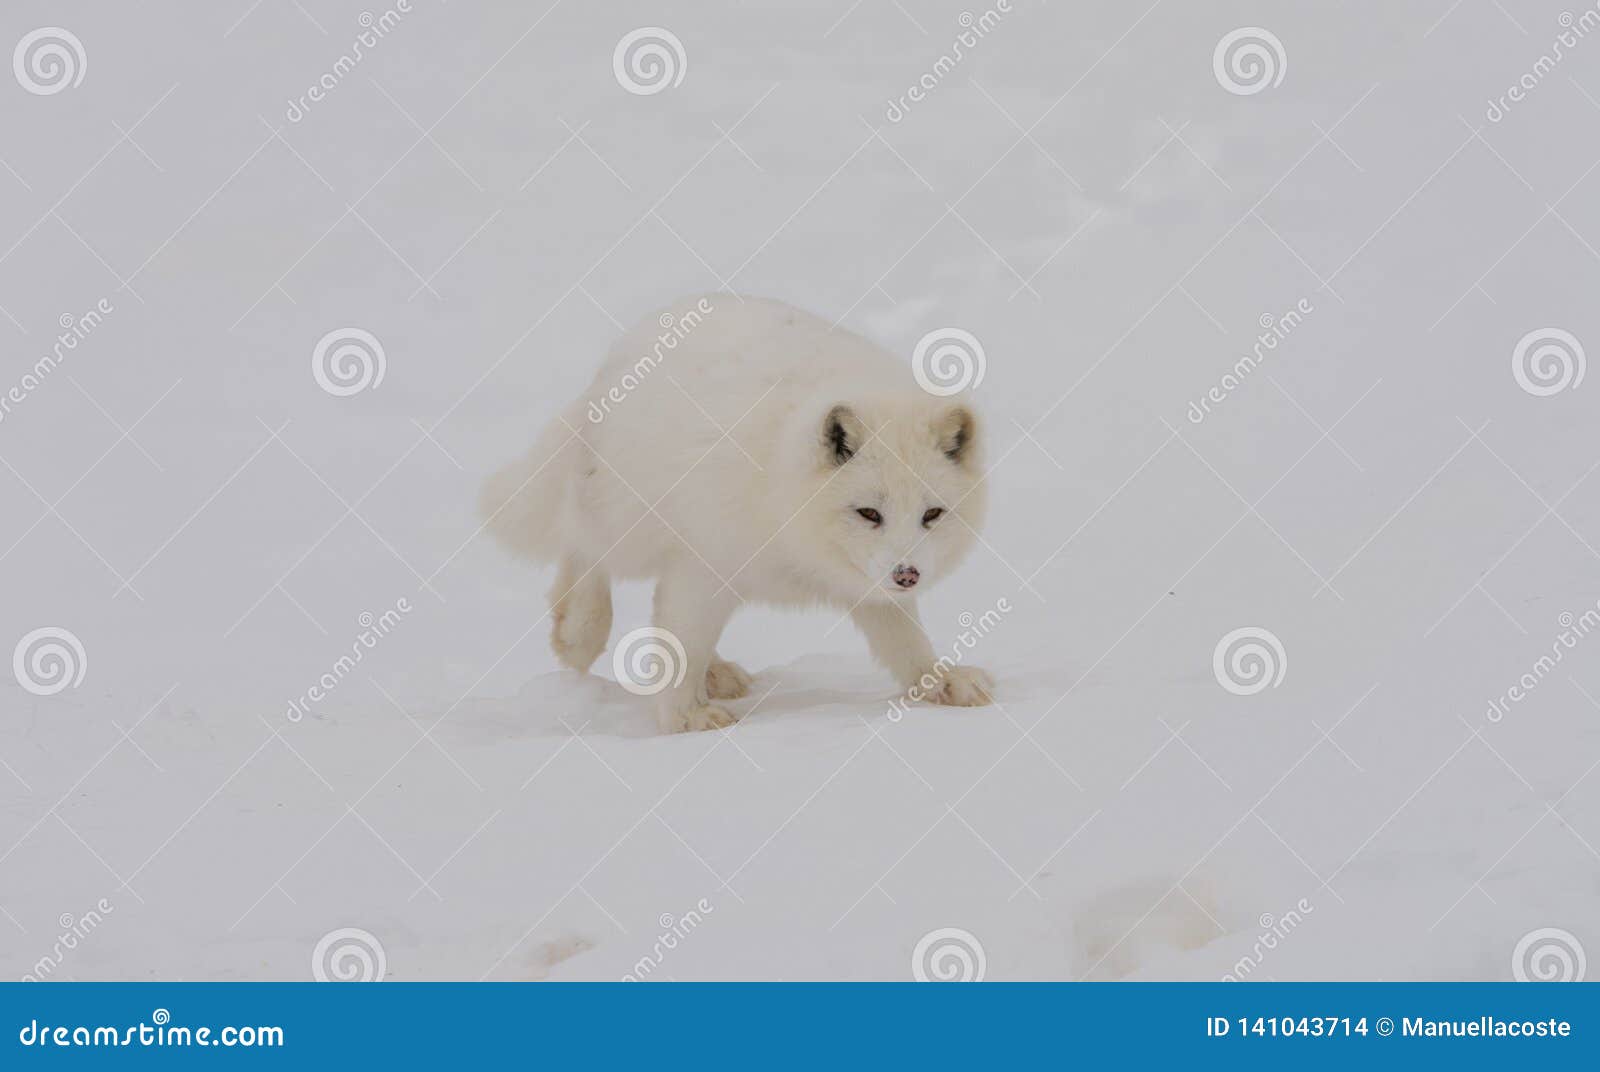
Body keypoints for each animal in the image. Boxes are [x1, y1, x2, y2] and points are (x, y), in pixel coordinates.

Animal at [480, 294, 994, 733]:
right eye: (868, 512)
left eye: (932, 514)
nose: (908, 575)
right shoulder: (702, 564)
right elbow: (681, 644)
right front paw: (685, 719)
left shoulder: (867, 585)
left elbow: (905, 640)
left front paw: (940, 681)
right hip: (621, 515)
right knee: (583, 548)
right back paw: (579, 630)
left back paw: (717, 672)